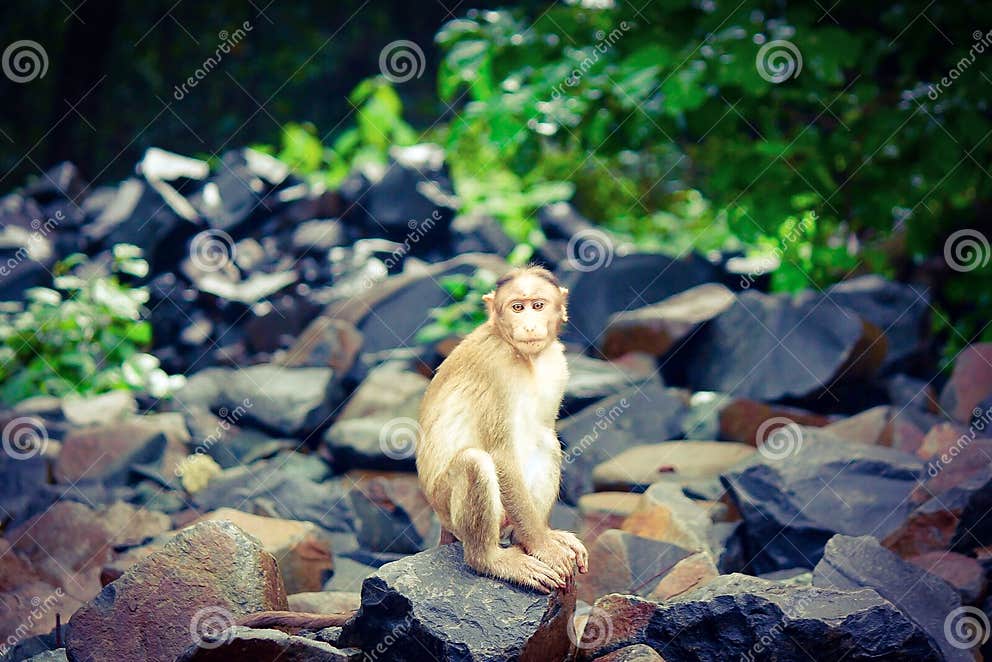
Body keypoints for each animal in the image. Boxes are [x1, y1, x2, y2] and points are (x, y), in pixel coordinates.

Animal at [416, 265, 589, 593]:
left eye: (538, 305)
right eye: (517, 307)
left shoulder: (556, 364)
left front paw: (543, 539)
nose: (530, 326)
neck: (523, 356)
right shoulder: (495, 365)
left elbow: (542, 432)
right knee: (474, 462)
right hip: (448, 508)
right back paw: (490, 559)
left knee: (547, 444)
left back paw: (526, 537)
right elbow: (500, 455)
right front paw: (543, 546)